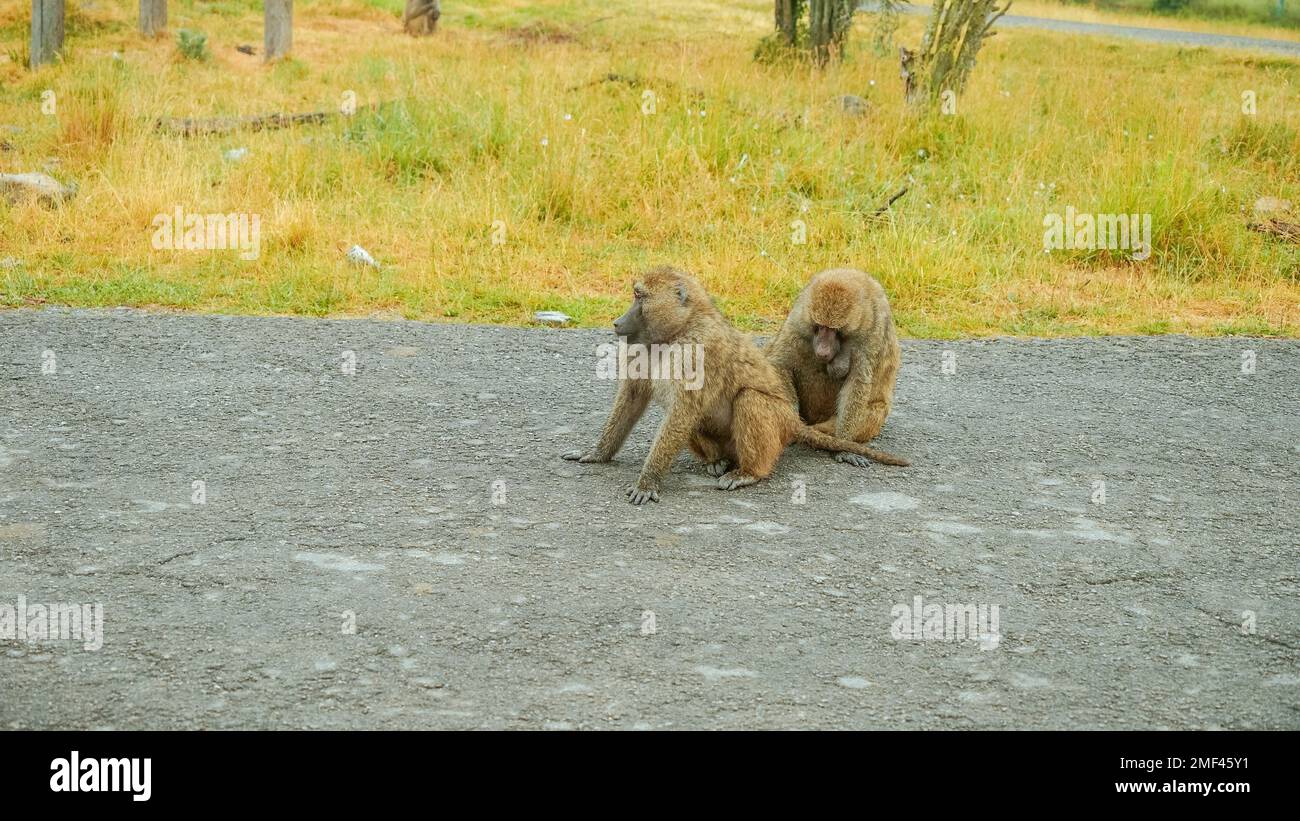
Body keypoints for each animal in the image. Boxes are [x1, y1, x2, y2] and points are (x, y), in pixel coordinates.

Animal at [764, 267, 901, 468]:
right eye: (820, 327)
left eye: (835, 330)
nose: (822, 350)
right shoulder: (800, 316)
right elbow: (781, 364)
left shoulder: (871, 332)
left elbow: (857, 383)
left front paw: (844, 447)